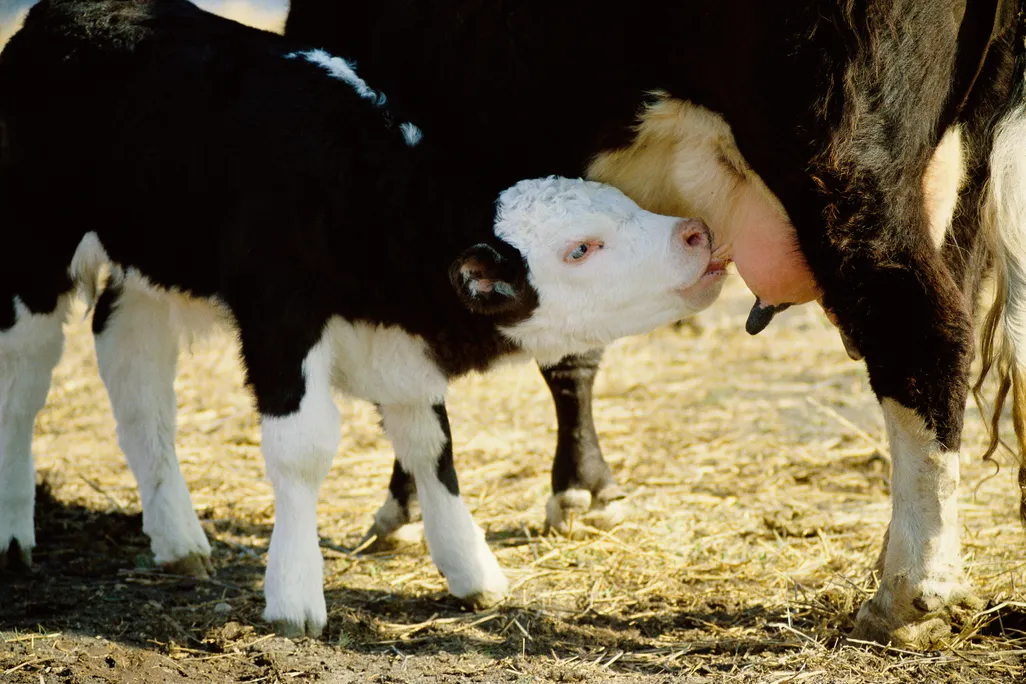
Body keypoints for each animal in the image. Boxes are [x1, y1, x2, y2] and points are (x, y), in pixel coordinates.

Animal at [0, 0, 728, 638]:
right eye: (580, 249)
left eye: (622, 204)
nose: (696, 234)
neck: (360, 198)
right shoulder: (280, 321)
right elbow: (303, 450)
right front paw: (294, 596)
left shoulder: (401, 348)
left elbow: (432, 445)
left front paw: (471, 570)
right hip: (33, 251)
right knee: (23, 384)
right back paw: (14, 536)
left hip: (148, 268)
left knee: (133, 371)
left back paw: (178, 538)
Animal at [283, 0, 1026, 649]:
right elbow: (567, 344)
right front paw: (583, 488)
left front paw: (405, 504)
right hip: (962, 165)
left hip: (840, 157)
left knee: (920, 331)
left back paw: (909, 594)